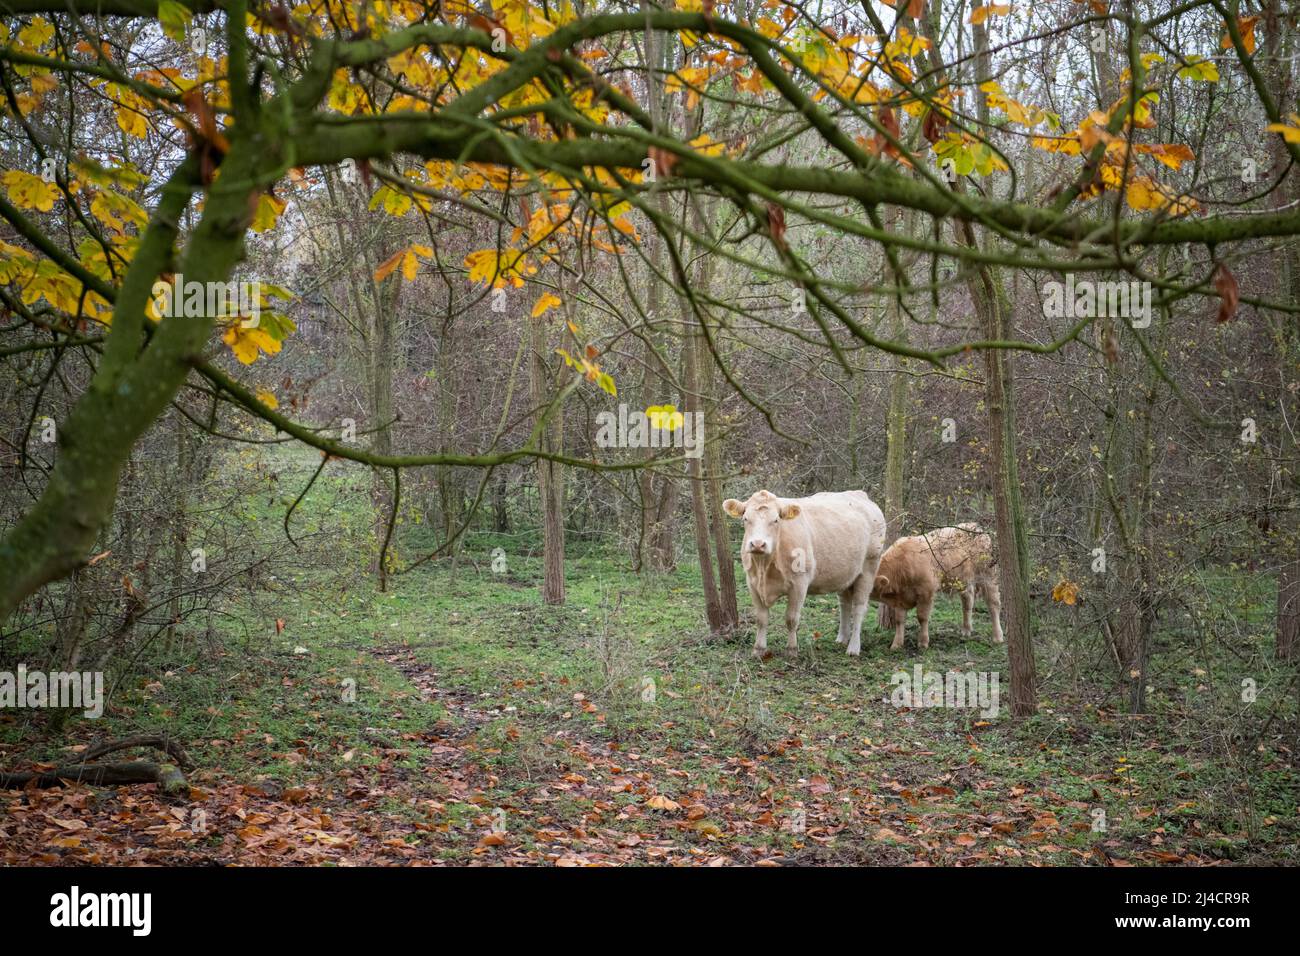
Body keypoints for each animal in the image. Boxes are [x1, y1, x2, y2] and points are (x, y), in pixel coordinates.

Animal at [723, 489, 887, 658]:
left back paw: (853, 647)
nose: (757, 544)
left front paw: (791, 650)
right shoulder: (752, 583)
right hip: (846, 574)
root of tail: (859, 494)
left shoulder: (799, 584)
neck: (765, 567)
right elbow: (761, 619)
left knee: (859, 608)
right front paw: (758, 650)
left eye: (776, 520)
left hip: (869, 567)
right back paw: (842, 638)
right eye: (745, 518)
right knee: (844, 605)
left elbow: (791, 619)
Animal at [872, 523, 1003, 651]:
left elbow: (922, 617)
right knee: (967, 601)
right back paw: (966, 631)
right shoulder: (900, 599)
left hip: (987, 575)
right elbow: (899, 620)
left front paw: (923, 643)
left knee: (993, 604)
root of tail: (977, 527)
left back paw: (997, 637)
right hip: (964, 580)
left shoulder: (926, 593)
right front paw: (896, 645)